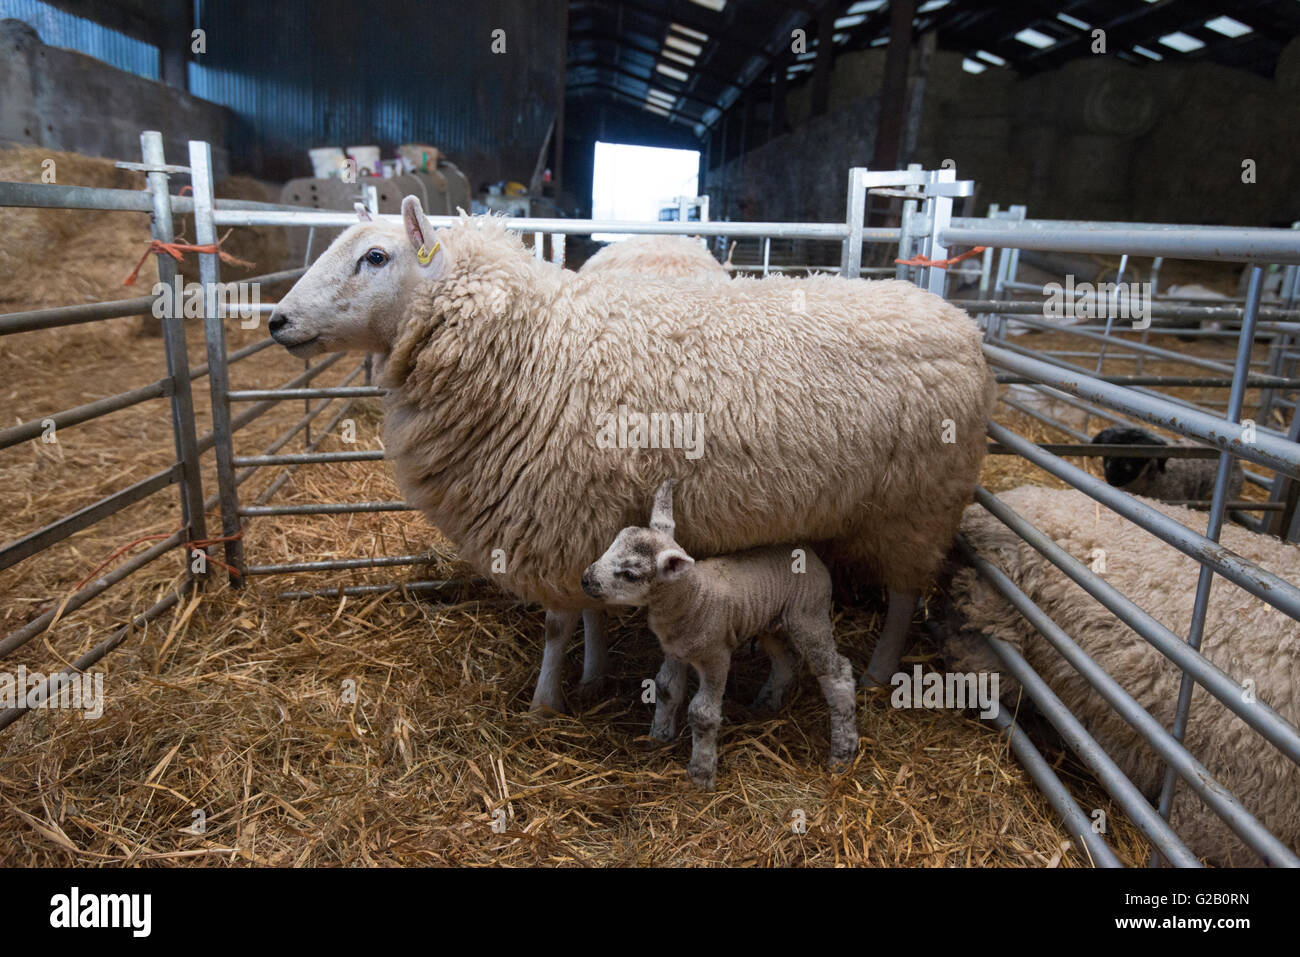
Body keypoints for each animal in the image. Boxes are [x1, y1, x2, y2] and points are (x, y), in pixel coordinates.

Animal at [581, 480, 856, 789]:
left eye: (629, 574)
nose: (586, 580)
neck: (694, 598)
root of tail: (809, 550)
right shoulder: (674, 651)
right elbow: (665, 689)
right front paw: (658, 737)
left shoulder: (715, 656)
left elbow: (702, 713)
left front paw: (701, 773)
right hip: (768, 621)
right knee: (785, 660)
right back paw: (766, 703)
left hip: (809, 613)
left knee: (837, 673)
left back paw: (843, 752)